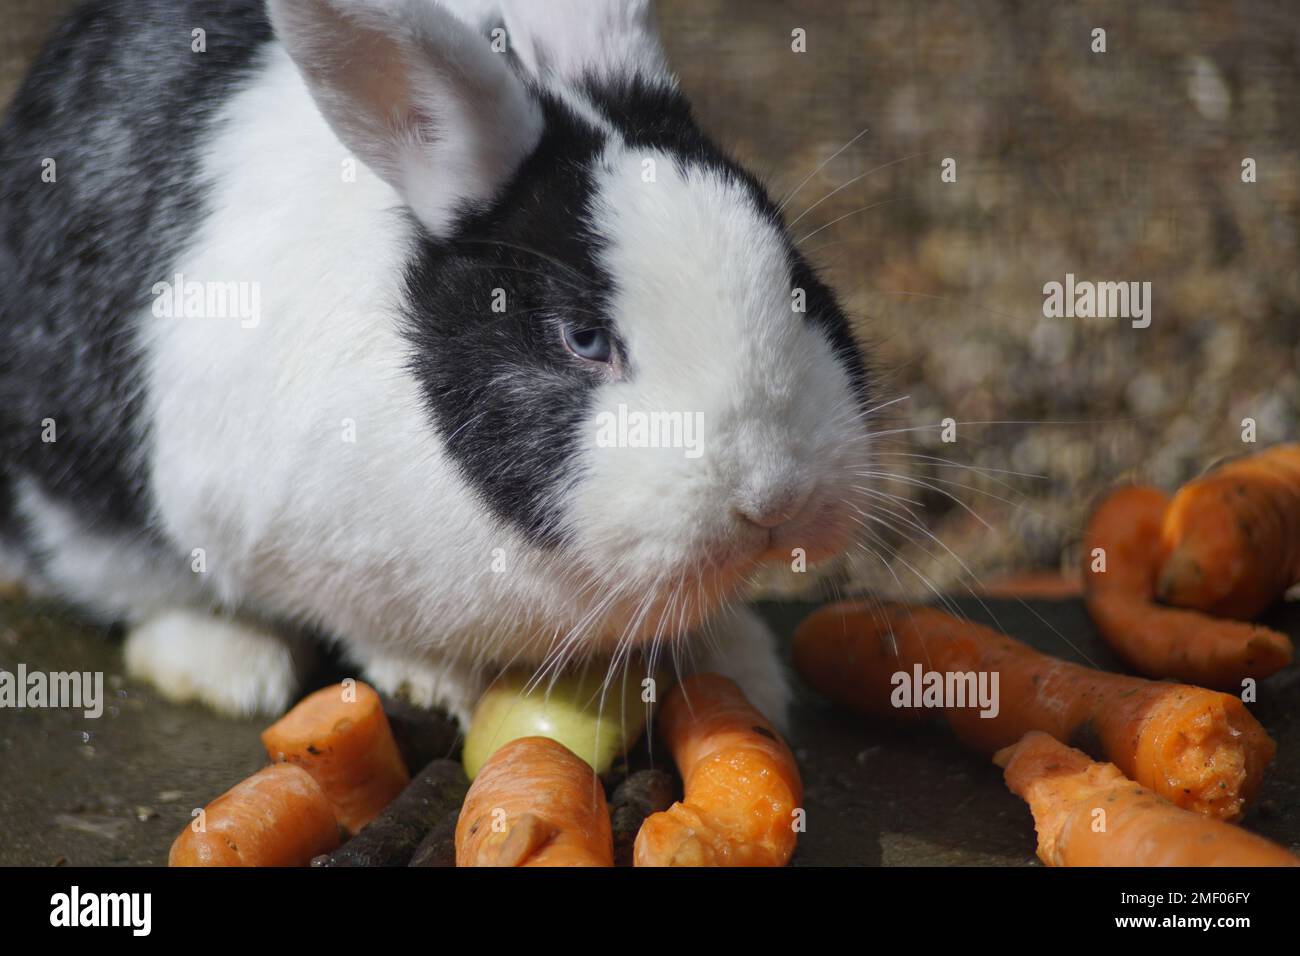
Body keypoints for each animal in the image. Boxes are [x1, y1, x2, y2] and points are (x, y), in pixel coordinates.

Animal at [0, 0, 873, 730]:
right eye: (584, 339)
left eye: (797, 276)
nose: (773, 500)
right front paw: (430, 682)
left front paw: (750, 671)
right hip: (80, 490)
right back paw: (233, 667)